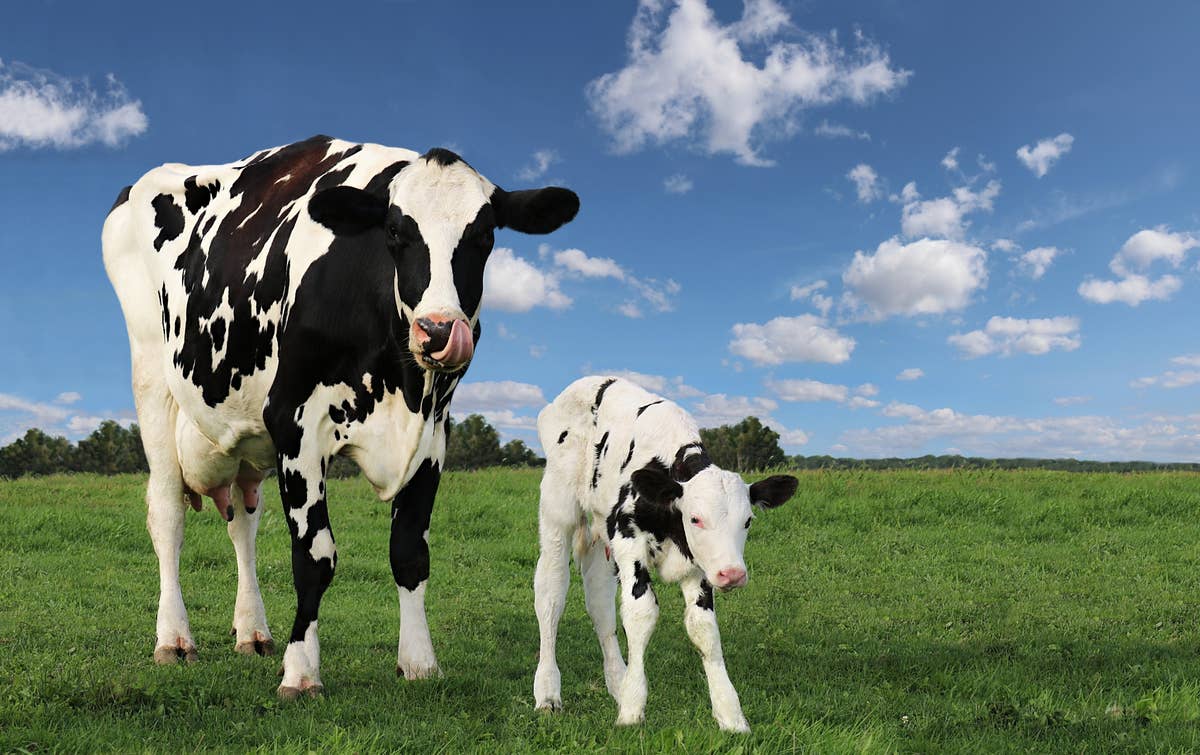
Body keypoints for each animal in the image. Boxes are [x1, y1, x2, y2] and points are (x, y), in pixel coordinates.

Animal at [101, 135, 579, 699]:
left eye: (484, 235)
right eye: (394, 232)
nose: (439, 331)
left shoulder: (433, 437)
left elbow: (409, 553)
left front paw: (419, 662)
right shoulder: (296, 425)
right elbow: (314, 558)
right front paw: (301, 670)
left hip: (241, 439)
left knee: (243, 521)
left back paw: (253, 632)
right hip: (152, 379)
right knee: (167, 514)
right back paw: (175, 640)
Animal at [532, 377, 798, 732]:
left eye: (748, 521)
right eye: (695, 518)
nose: (732, 574)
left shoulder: (698, 566)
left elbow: (704, 629)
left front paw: (730, 714)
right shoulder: (629, 541)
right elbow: (641, 614)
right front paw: (632, 709)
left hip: (602, 535)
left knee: (600, 603)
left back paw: (617, 681)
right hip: (558, 512)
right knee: (551, 593)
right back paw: (548, 692)